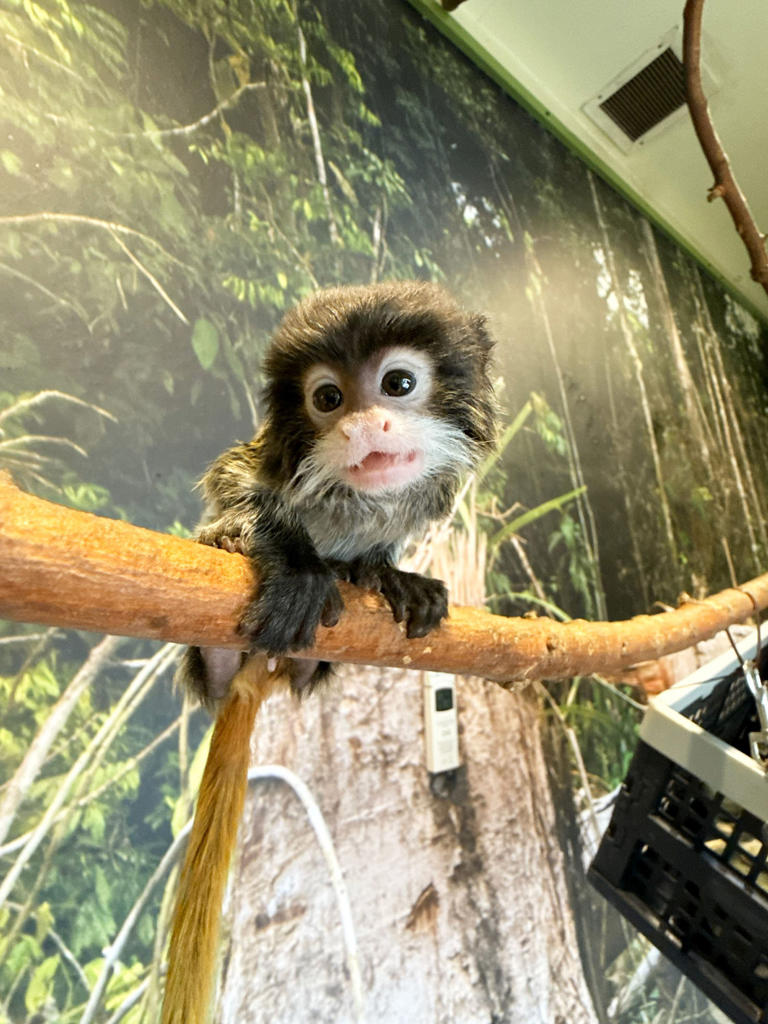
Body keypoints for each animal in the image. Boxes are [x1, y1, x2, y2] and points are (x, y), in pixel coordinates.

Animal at [161, 281, 496, 1024]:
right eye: (328, 398)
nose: (366, 425)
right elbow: (236, 482)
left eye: (397, 384)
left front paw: (386, 574)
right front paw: (289, 559)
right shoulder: (266, 461)